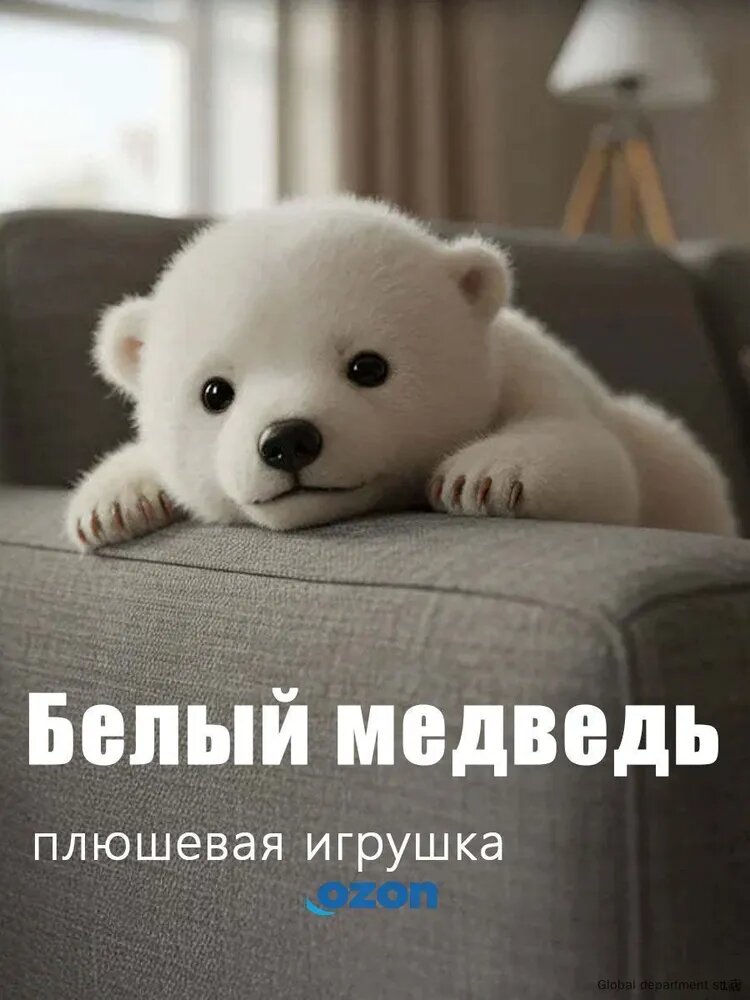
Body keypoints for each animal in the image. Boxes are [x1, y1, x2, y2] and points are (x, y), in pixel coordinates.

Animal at [65, 195, 738, 550]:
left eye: (368, 366)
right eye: (214, 392)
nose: (287, 441)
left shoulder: (529, 374)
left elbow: (598, 463)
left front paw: (484, 476)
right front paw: (114, 503)